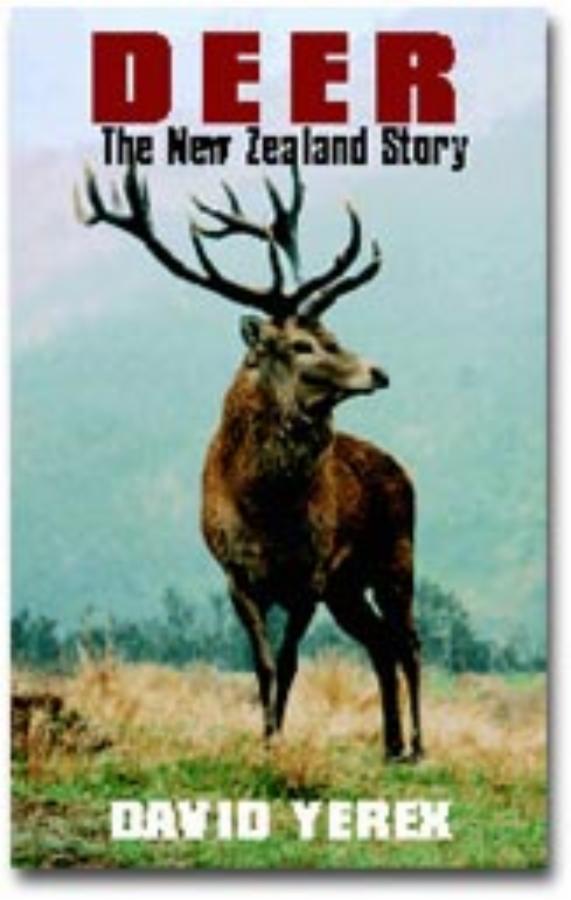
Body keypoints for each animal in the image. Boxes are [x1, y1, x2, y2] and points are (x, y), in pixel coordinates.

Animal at [75, 163, 423, 762]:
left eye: (333, 334)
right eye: (304, 345)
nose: (378, 371)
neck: (267, 512)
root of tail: (402, 471)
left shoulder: (309, 576)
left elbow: (288, 661)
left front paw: (277, 738)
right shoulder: (236, 576)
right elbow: (262, 665)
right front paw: (268, 738)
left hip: (394, 555)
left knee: (410, 642)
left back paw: (419, 746)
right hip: (348, 586)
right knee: (383, 643)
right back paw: (392, 744)